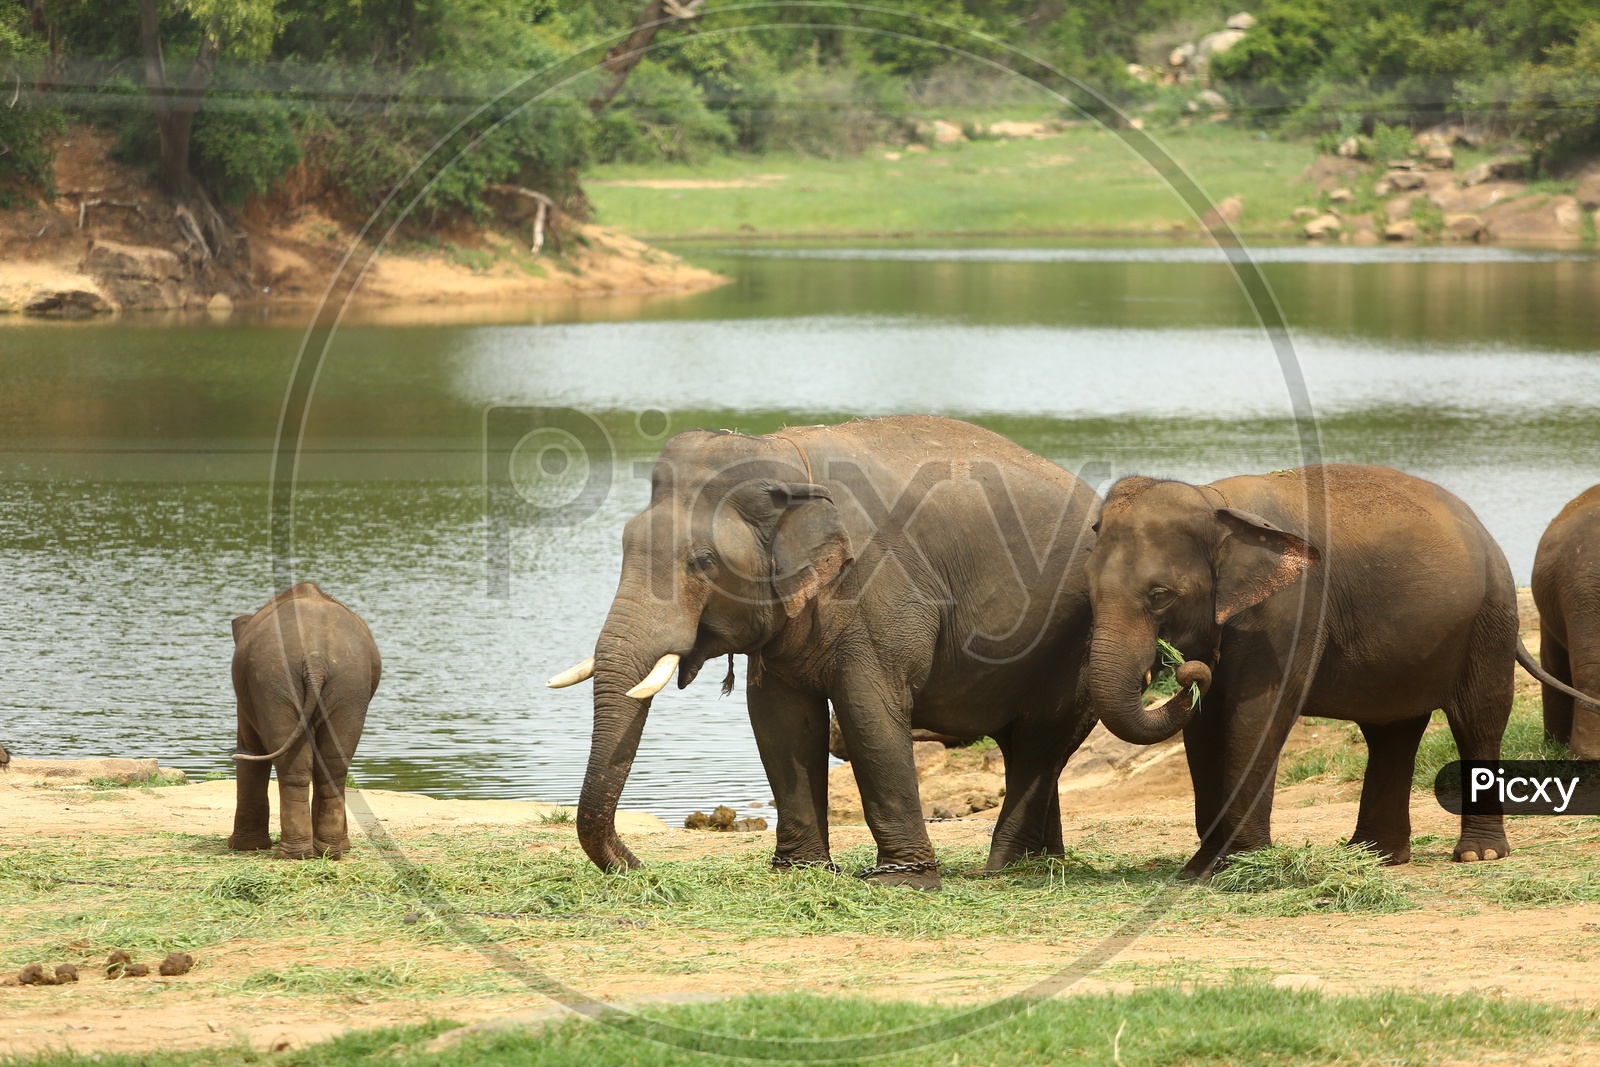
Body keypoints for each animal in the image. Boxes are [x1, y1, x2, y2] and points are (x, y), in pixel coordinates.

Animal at [227, 582, 381, 860]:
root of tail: (316, 659)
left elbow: (250, 746)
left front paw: (243, 847)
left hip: (276, 682)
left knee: (293, 766)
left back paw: (296, 854)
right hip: (347, 686)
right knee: (333, 766)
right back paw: (327, 852)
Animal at [548, 415, 1101, 889]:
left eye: (703, 562)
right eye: (624, 543)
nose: (638, 867)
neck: (784, 461)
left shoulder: (881, 588)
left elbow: (868, 712)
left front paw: (903, 884)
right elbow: (780, 721)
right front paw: (799, 874)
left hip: (1079, 647)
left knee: (1039, 743)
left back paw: (1007, 869)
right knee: (1026, 746)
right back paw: (1043, 864)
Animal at [1085, 463, 1537, 876]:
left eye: (1160, 595)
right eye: (1088, 591)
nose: (1186, 670)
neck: (1214, 501)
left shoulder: (1288, 613)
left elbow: (1257, 717)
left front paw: (1242, 866)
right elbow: (1203, 728)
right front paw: (1199, 870)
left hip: (1490, 618)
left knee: (1478, 720)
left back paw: (1479, 854)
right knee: (1391, 732)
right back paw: (1374, 855)